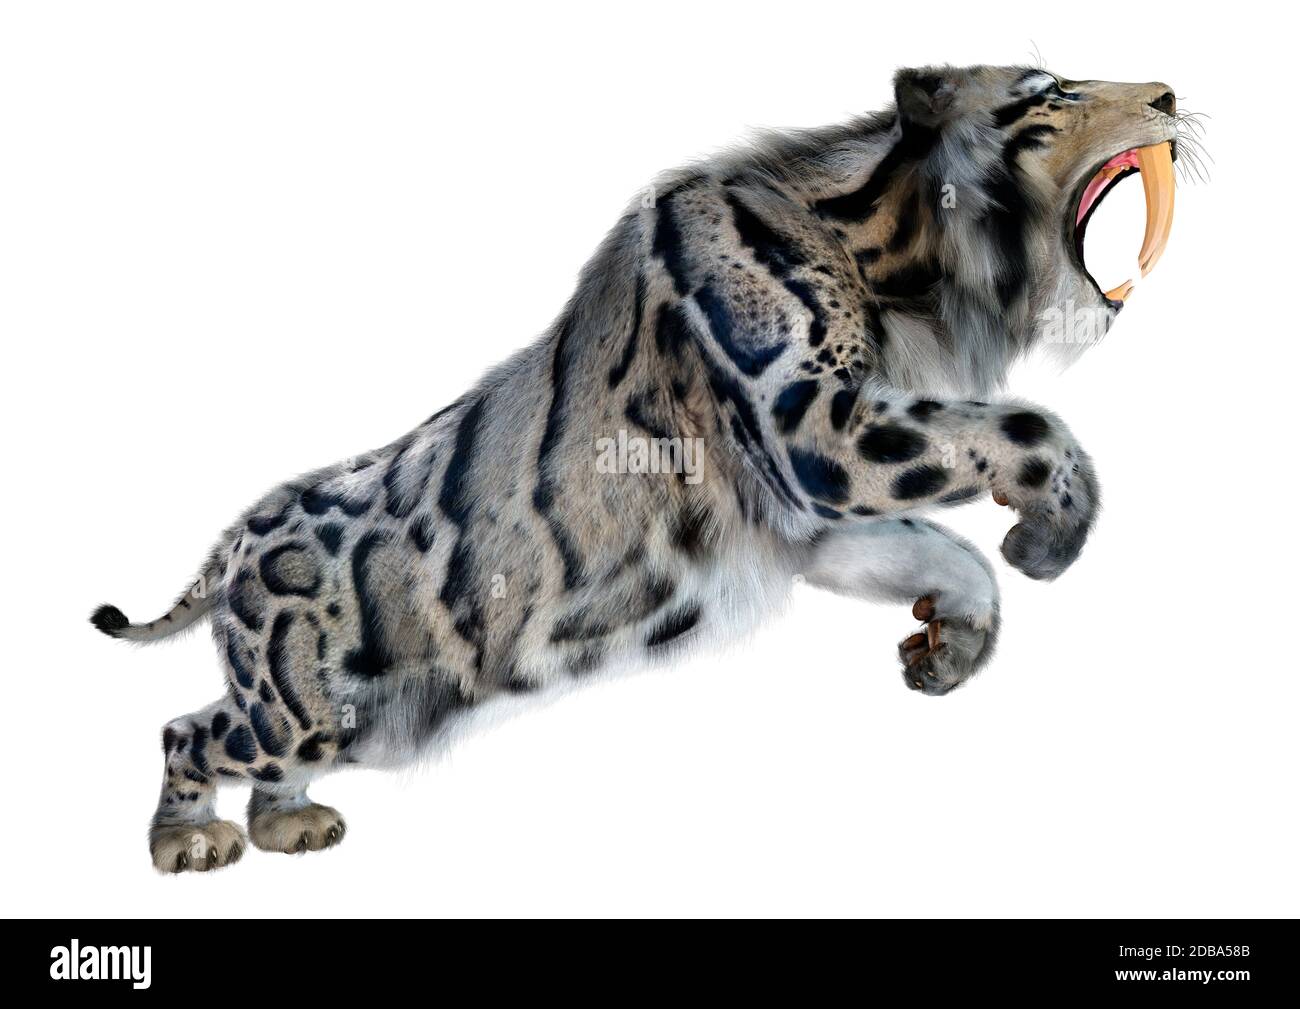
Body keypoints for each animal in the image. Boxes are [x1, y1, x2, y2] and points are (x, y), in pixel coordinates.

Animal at [92, 63, 1189, 871]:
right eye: (1053, 90)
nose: (1172, 96)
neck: (901, 266)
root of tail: (237, 538)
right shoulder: (816, 433)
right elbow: (1031, 426)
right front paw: (1049, 530)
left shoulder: (801, 519)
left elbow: (943, 552)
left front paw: (952, 640)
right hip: (314, 707)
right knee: (186, 728)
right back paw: (189, 841)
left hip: (354, 719)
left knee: (221, 731)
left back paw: (286, 823)